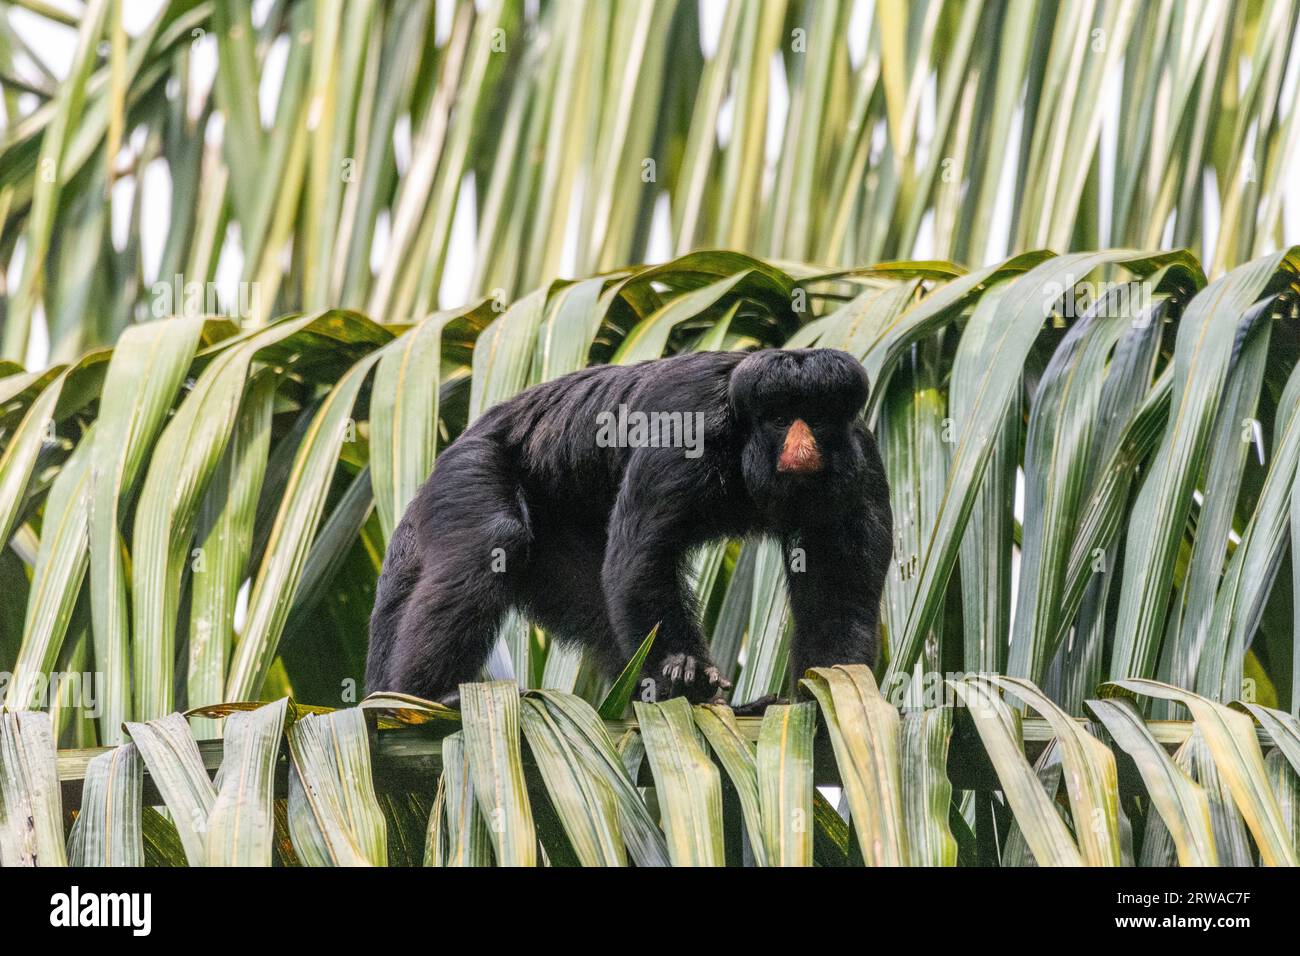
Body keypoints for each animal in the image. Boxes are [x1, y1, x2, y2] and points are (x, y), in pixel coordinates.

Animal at [365, 348, 893, 709]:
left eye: (816, 420)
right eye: (782, 419)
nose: (801, 447)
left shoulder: (863, 463)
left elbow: (839, 585)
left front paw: (825, 696)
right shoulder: (688, 424)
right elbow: (641, 559)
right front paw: (687, 671)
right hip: (468, 470)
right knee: (494, 539)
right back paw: (422, 696)